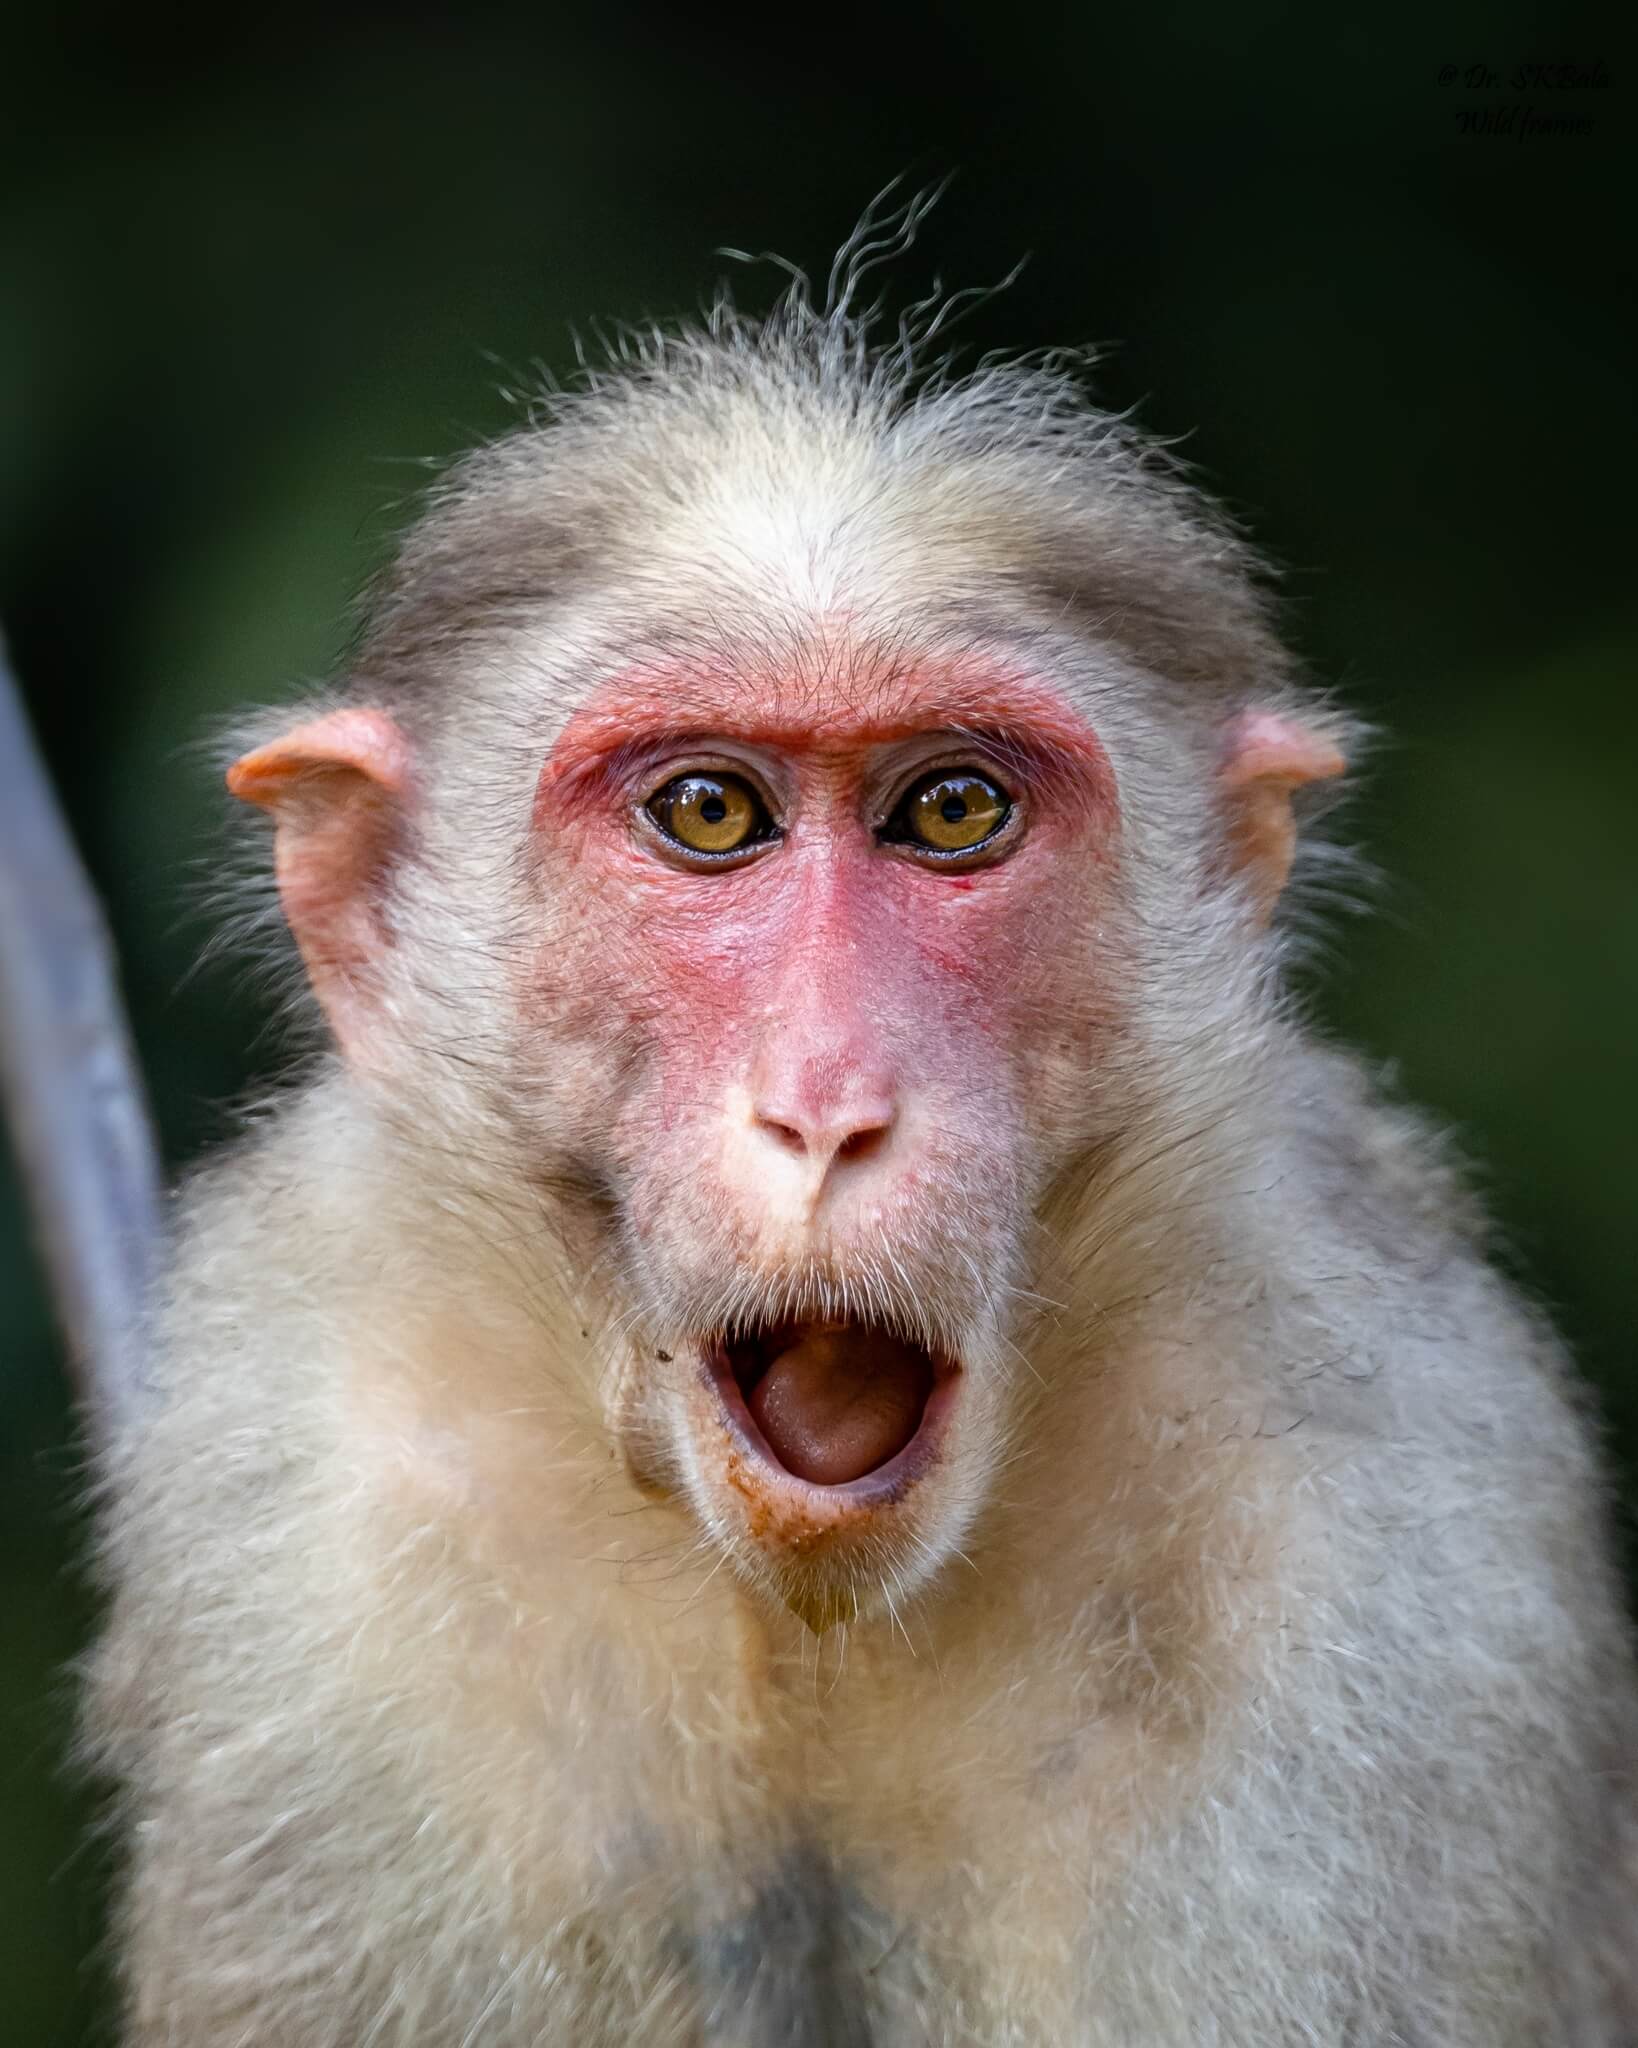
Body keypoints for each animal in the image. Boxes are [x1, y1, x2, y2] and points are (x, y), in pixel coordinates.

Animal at [84, 229, 1638, 2047]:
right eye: (708, 813)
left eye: (952, 809)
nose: (826, 1105)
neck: (808, 1629)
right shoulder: (306, 1549)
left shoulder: (1397, 1553)